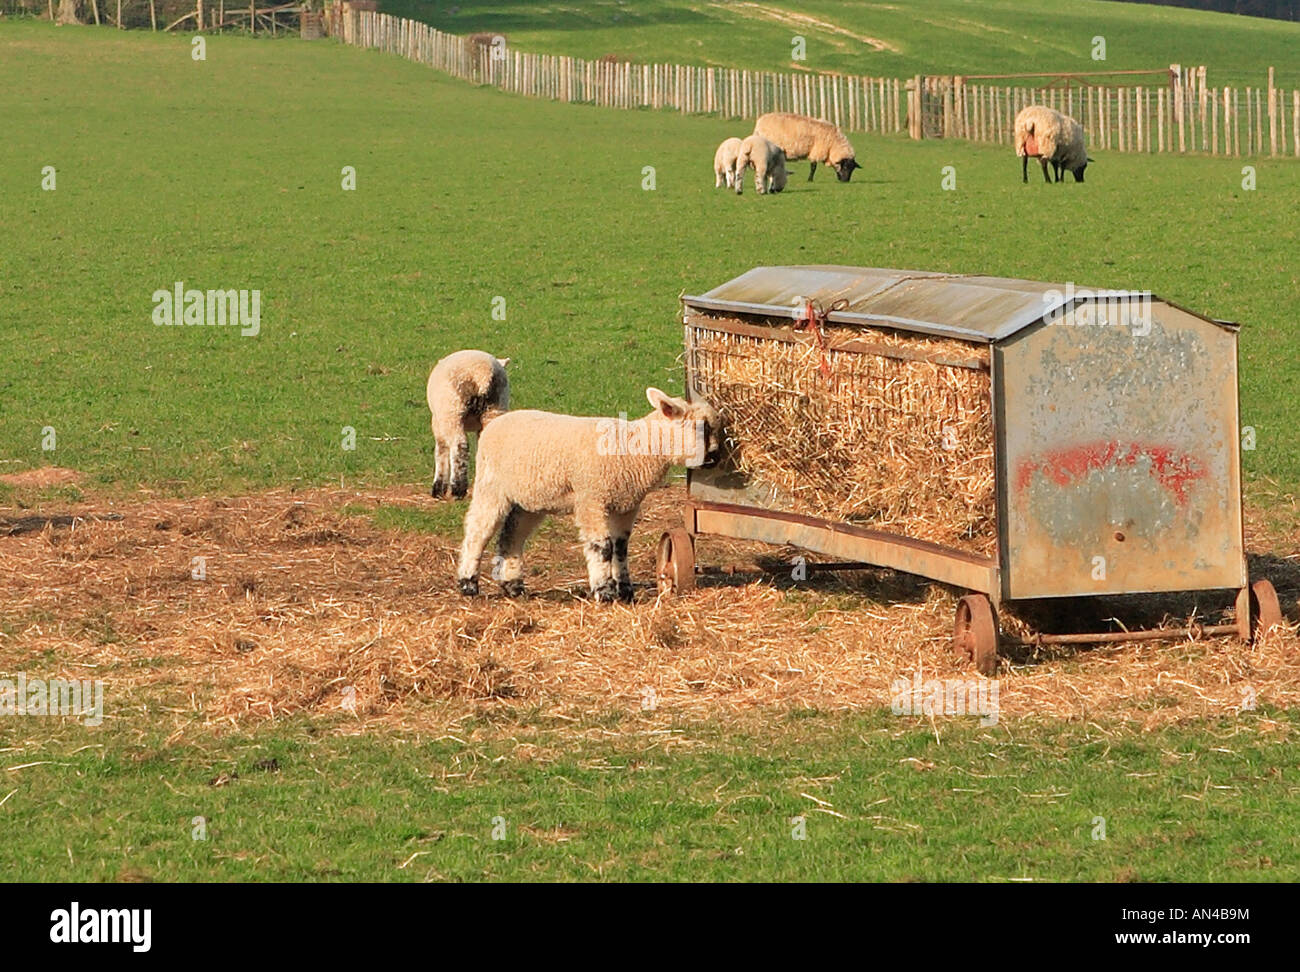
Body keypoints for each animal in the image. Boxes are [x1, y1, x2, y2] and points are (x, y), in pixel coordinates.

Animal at [426, 350, 510, 499]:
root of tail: (482, 373)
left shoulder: (437, 421)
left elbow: (441, 450)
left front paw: (439, 487)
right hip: (495, 408)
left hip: (452, 412)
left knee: (460, 446)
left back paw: (457, 489)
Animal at [456, 388, 723, 602]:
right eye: (700, 428)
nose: (715, 457)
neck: (634, 451)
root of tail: (495, 422)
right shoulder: (591, 499)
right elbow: (602, 546)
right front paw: (604, 592)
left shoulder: (626, 505)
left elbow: (620, 546)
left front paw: (625, 591)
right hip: (491, 485)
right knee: (478, 530)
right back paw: (468, 584)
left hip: (530, 498)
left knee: (512, 534)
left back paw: (513, 586)